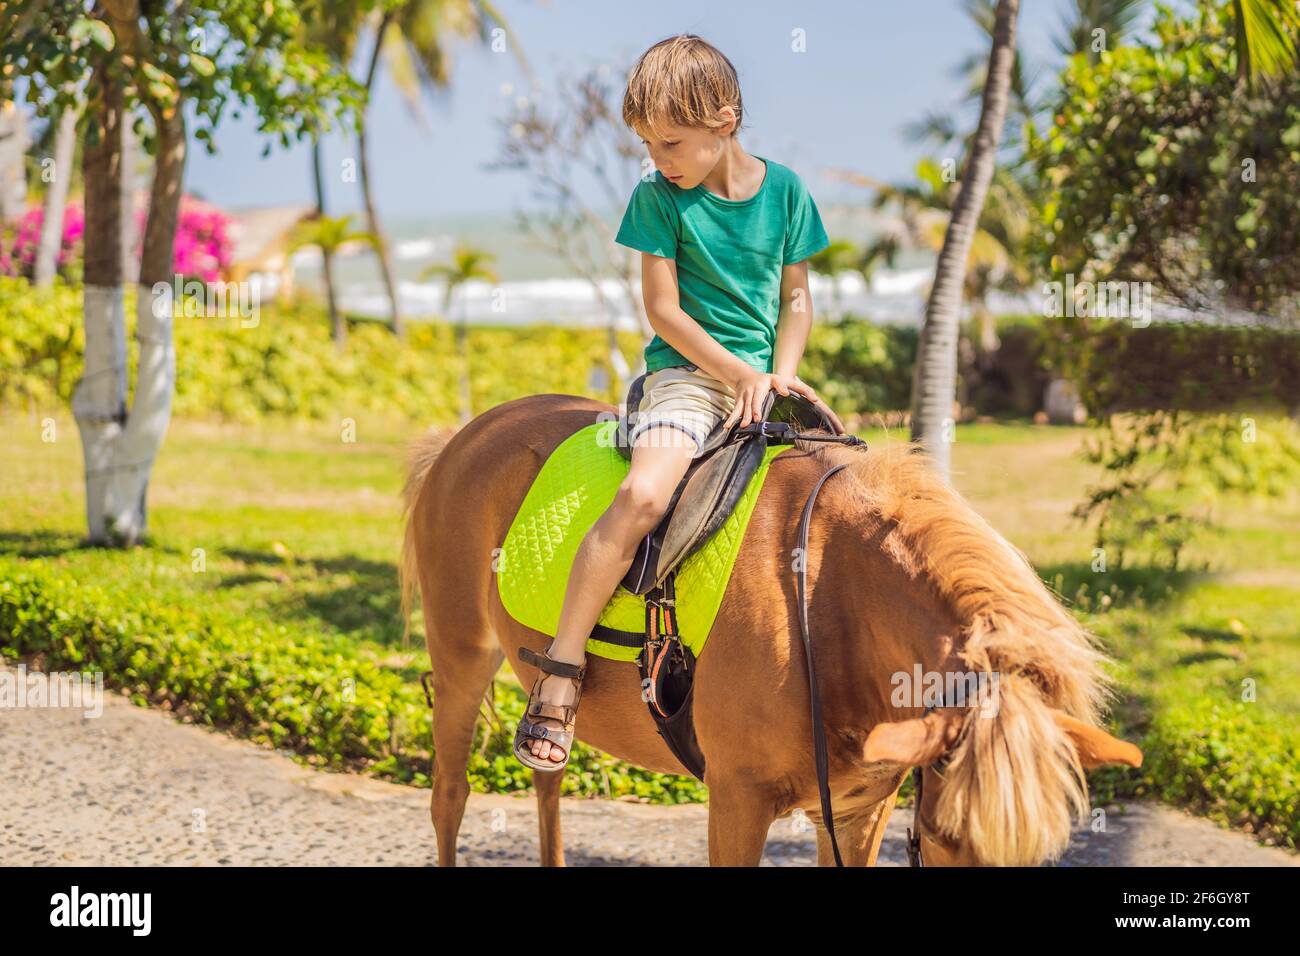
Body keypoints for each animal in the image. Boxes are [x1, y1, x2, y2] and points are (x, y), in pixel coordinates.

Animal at [399, 392, 1143, 866]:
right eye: (943, 838)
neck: (826, 595)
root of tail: (470, 433)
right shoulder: (736, 802)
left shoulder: (858, 812)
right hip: (462, 658)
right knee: (448, 798)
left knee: (547, 786)